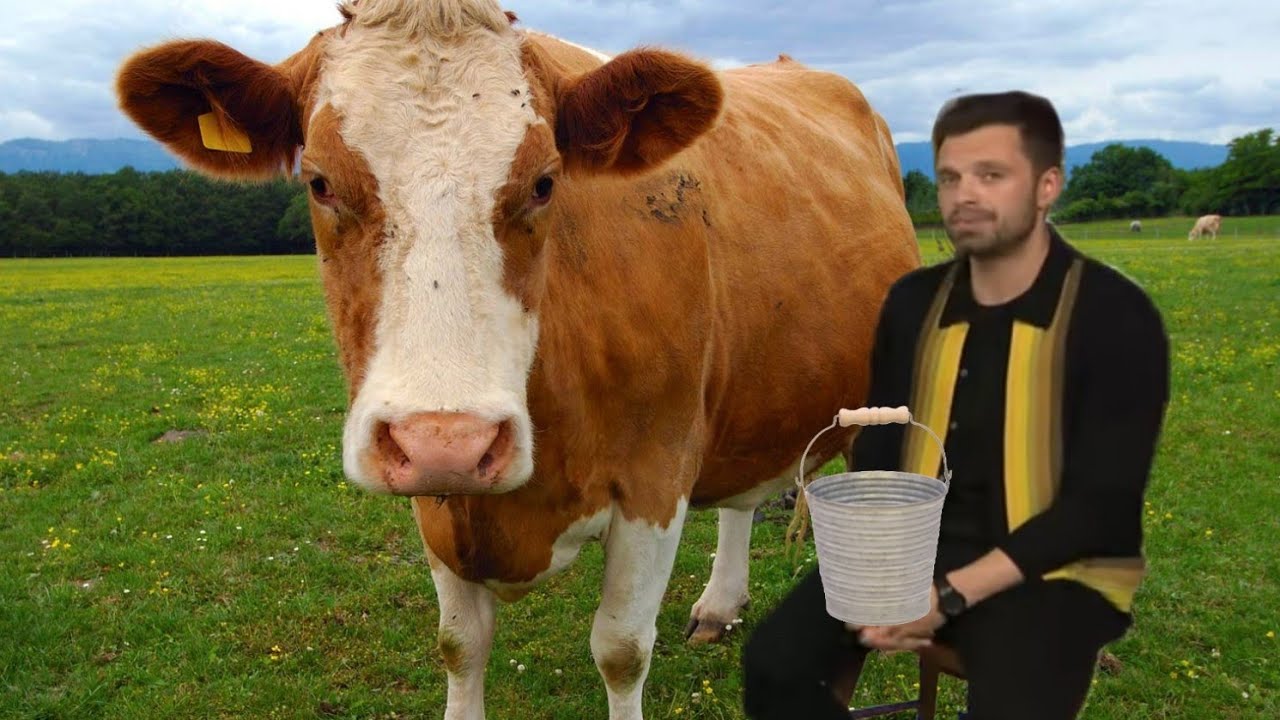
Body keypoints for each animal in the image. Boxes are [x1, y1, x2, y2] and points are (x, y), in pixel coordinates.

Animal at [115, 1, 920, 718]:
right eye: (317, 181)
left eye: (544, 181)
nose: (448, 441)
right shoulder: (437, 503)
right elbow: (459, 645)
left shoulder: (657, 475)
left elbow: (621, 650)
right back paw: (720, 604)